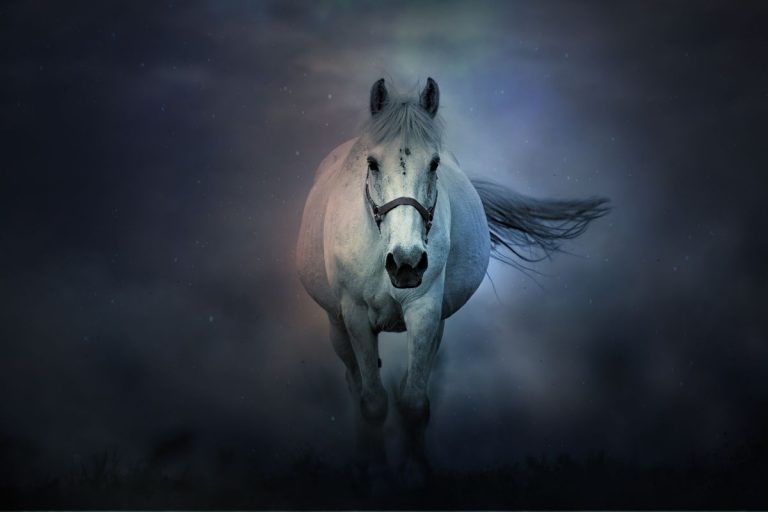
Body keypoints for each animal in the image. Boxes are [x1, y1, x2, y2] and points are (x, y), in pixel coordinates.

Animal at [295, 77, 609, 485]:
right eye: (372, 163)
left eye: (434, 163)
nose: (407, 263)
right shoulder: (356, 316)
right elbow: (373, 401)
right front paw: (377, 471)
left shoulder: (426, 311)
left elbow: (413, 401)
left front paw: (416, 471)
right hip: (337, 326)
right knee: (355, 383)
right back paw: (363, 459)